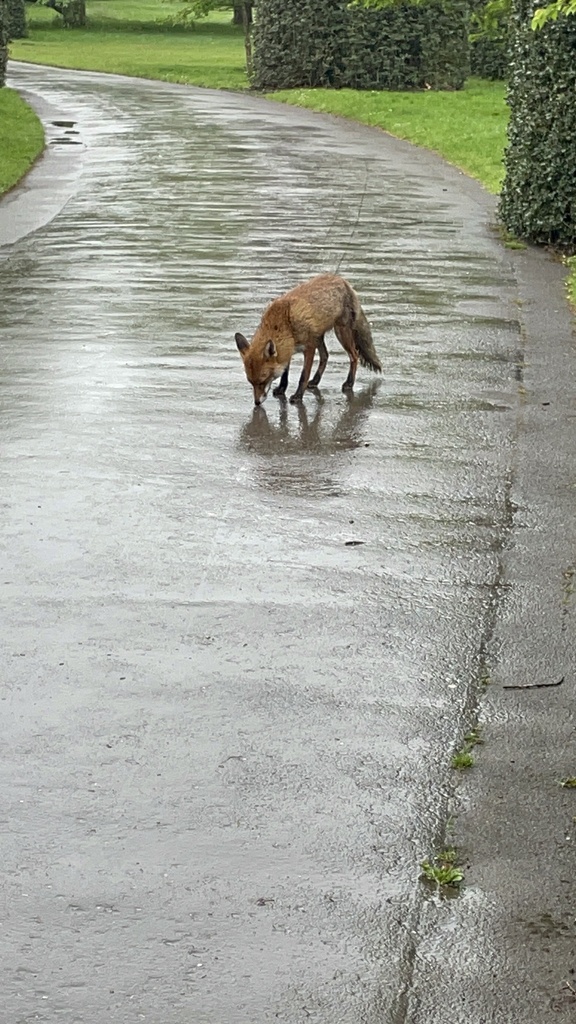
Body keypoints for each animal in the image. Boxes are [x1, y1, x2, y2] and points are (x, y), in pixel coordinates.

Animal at [235, 273, 382, 406]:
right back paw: (315, 381)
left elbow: (303, 376)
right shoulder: (287, 349)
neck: (284, 324)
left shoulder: (309, 347)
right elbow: (285, 374)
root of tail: (343, 280)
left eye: (263, 381)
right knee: (325, 356)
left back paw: (349, 383)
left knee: (354, 356)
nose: (257, 402)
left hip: (341, 332)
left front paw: (298, 396)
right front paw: (282, 389)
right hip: (319, 337)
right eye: (251, 382)